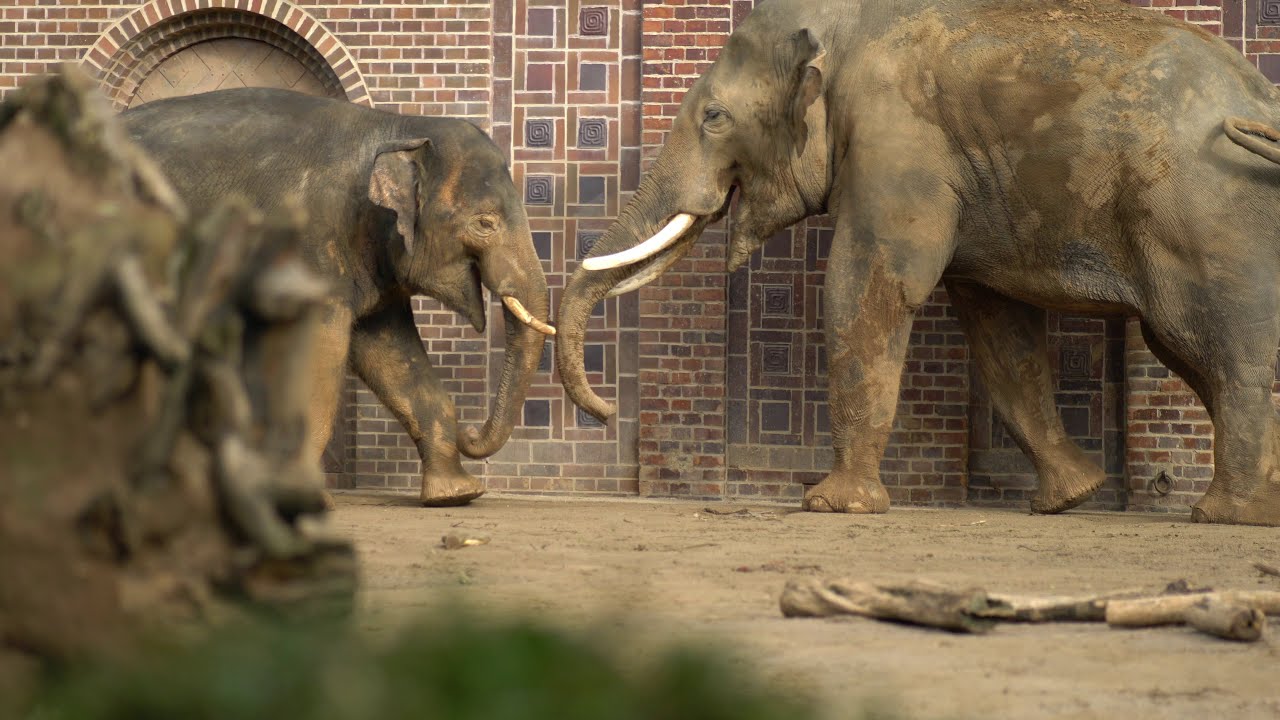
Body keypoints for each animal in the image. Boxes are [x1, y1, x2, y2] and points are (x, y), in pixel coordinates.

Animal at [123, 88, 554, 507]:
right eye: (485, 223)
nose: (471, 430)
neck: (394, 128)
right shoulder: (309, 241)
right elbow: (317, 354)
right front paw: (299, 497)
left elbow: (394, 354)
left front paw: (455, 494)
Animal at [556, 0, 1280, 526]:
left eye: (713, 117)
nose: (603, 411)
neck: (838, 26)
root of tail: (1260, 99)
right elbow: (997, 329)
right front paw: (1066, 500)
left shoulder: (897, 140)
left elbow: (869, 284)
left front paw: (831, 505)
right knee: (1200, 354)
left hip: (1204, 212)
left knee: (1212, 347)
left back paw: (1226, 514)